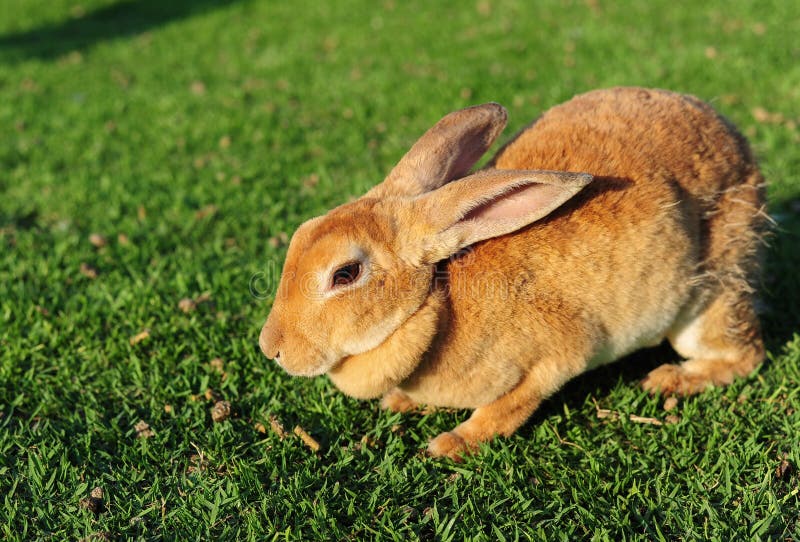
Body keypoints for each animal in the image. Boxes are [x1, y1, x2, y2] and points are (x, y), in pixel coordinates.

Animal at [259, 87, 768, 459]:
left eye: (345, 274)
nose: (273, 349)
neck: (440, 306)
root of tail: (738, 146)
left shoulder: (555, 356)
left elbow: (508, 407)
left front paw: (451, 444)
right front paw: (402, 401)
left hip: (707, 299)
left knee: (746, 356)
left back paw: (670, 379)